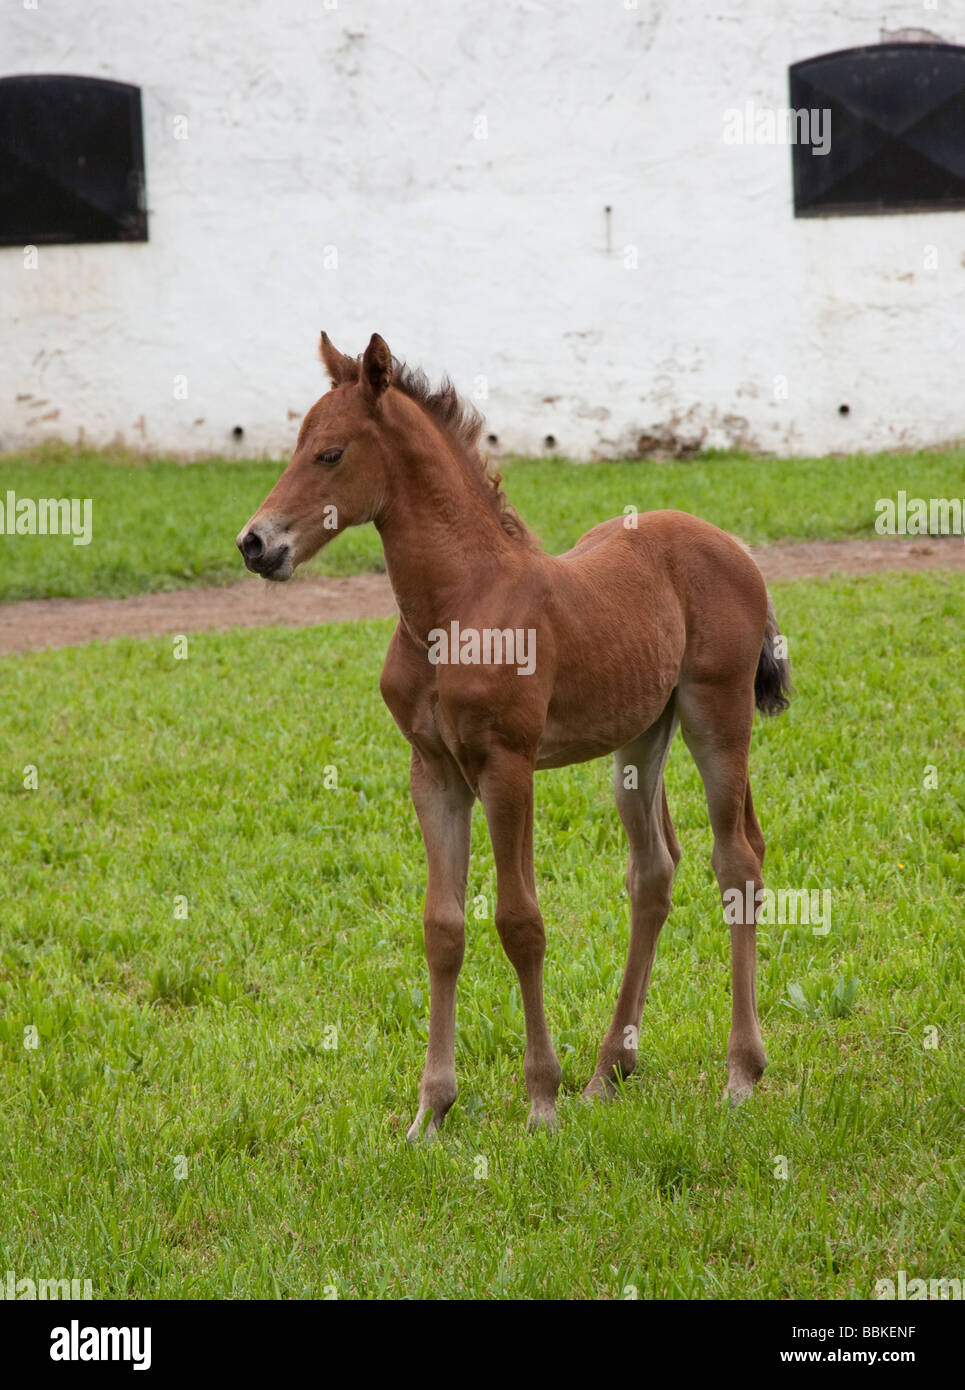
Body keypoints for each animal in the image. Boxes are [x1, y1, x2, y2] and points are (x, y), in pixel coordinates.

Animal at [237, 332, 791, 1139]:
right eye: (296, 446)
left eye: (330, 454)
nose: (254, 544)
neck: (457, 607)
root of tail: (736, 547)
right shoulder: (434, 773)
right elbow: (442, 927)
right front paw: (430, 1112)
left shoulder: (508, 766)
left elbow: (519, 921)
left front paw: (540, 1101)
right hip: (638, 739)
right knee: (653, 872)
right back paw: (608, 1073)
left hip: (715, 717)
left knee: (737, 861)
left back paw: (740, 1075)